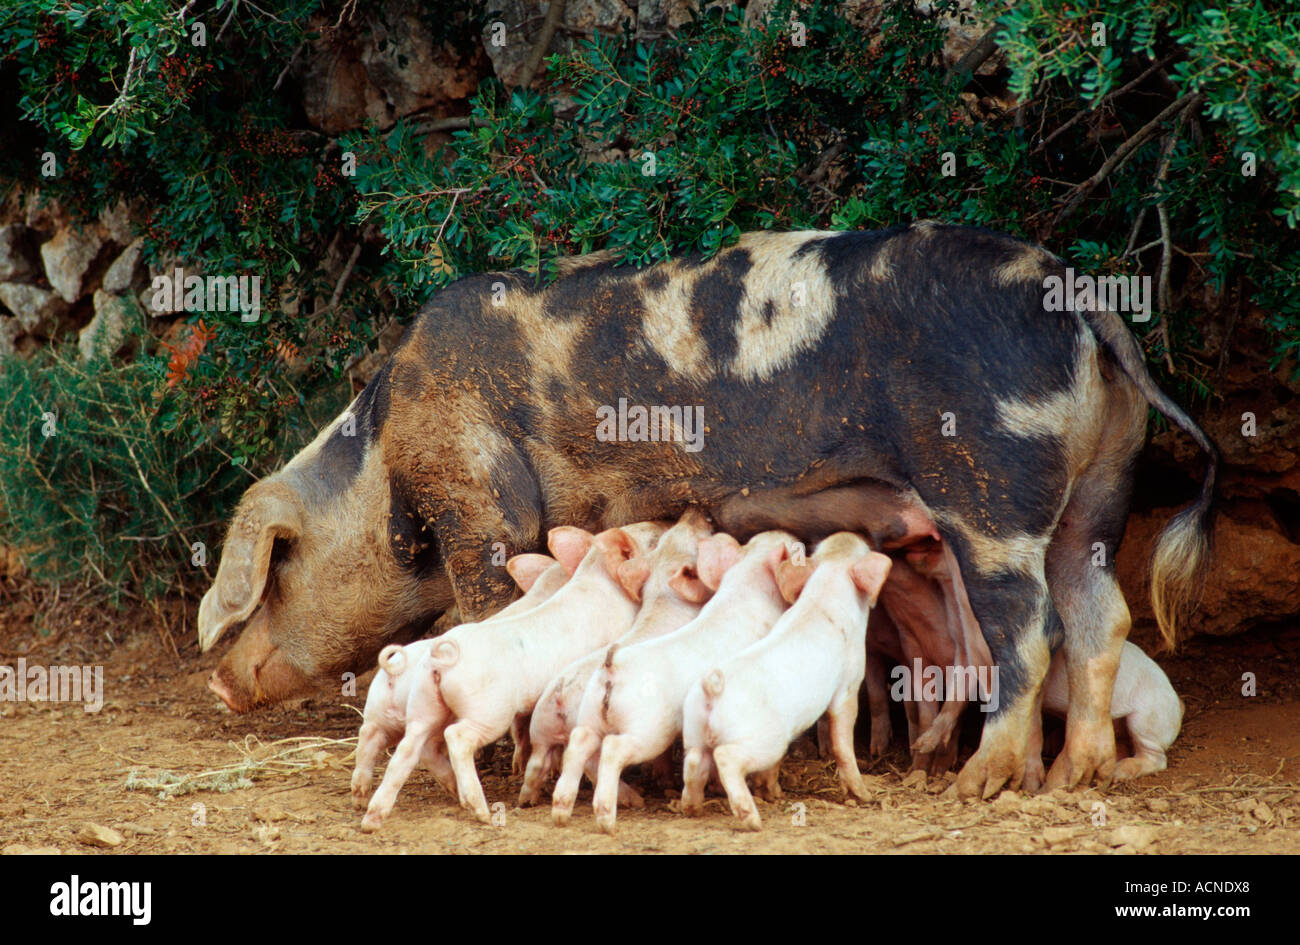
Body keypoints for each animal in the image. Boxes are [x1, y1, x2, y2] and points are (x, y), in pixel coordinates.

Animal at [521, 509, 715, 808]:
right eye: (654, 540)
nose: (688, 512)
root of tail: (561, 691)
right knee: (592, 761)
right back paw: (633, 799)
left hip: (540, 727)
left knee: (538, 762)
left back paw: (526, 800)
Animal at [561, 530, 795, 833]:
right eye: (791, 550)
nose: (786, 533)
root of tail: (612, 667)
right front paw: (773, 793)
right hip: (646, 728)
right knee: (612, 749)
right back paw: (609, 820)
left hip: (589, 714)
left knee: (578, 744)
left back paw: (560, 814)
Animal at [682, 533, 892, 829]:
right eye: (864, 549)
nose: (854, 534)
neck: (827, 590)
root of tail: (713, 690)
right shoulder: (849, 682)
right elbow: (842, 740)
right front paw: (864, 796)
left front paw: (774, 793)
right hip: (764, 739)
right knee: (725, 757)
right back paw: (752, 820)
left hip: (693, 729)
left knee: (693, 761)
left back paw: (691, 808)